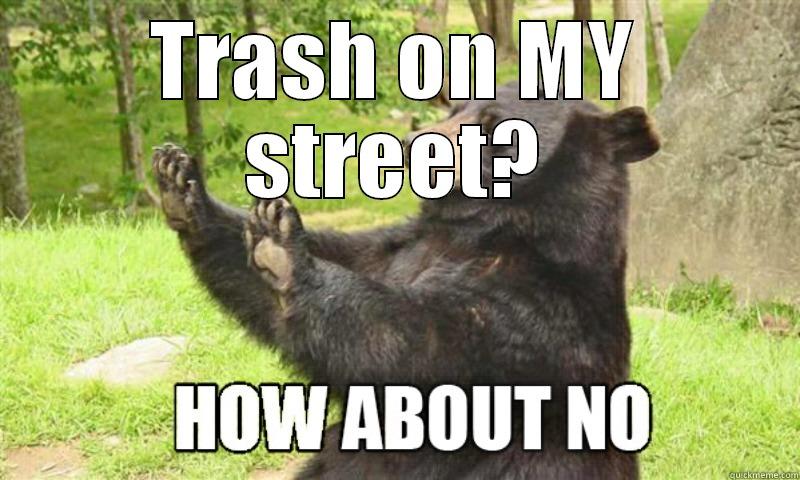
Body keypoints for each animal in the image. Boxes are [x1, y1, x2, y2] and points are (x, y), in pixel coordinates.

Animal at [152, 82, 660, 479]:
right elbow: (339, 260)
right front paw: (185, 185)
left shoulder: (540, 312)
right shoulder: (398, 249)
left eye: (495, 125)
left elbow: (413, 342)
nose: (415, 141)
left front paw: (283, 250)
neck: (482, 229)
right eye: (455, 110)